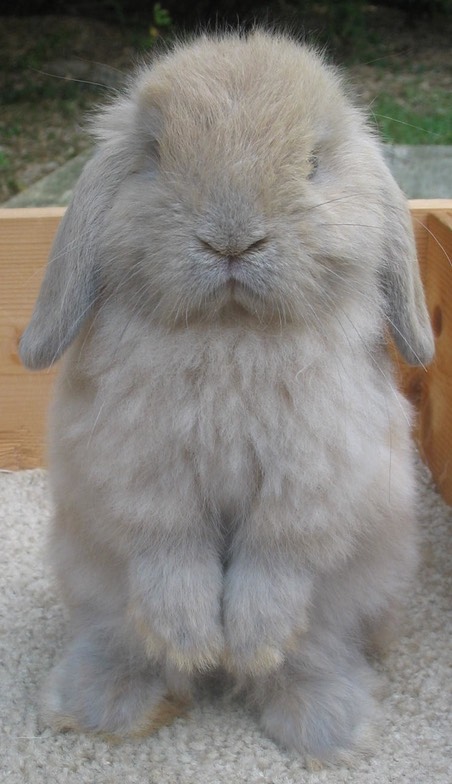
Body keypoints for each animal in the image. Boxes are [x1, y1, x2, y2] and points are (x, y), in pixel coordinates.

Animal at [20, 30, 434, 765]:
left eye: (314, 162)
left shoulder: (310, 491)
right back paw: (102, 705)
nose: (232, 239)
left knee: (314, 649)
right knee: (126, 637)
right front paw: (194, 640)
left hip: (354, 596)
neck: (231, 330)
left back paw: (323, 723)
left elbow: (274, 563)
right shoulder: (142, 483)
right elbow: (170, 555)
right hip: (93, 581)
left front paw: (244, 645)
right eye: (155, 155)